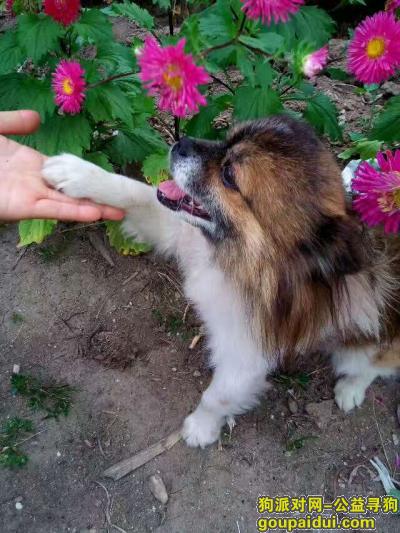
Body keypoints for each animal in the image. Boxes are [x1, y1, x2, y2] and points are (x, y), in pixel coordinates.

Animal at [41, 115, 400, 444]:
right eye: (227, 138)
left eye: (229, 175)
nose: (181, 142)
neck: (235, 259)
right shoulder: (180, 233)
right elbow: (132, 192)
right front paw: (77, 172)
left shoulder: (245, 355)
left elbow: (217, 397)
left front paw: (200, 428)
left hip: (364, 346)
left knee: (371, 365)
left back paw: (350, 388)